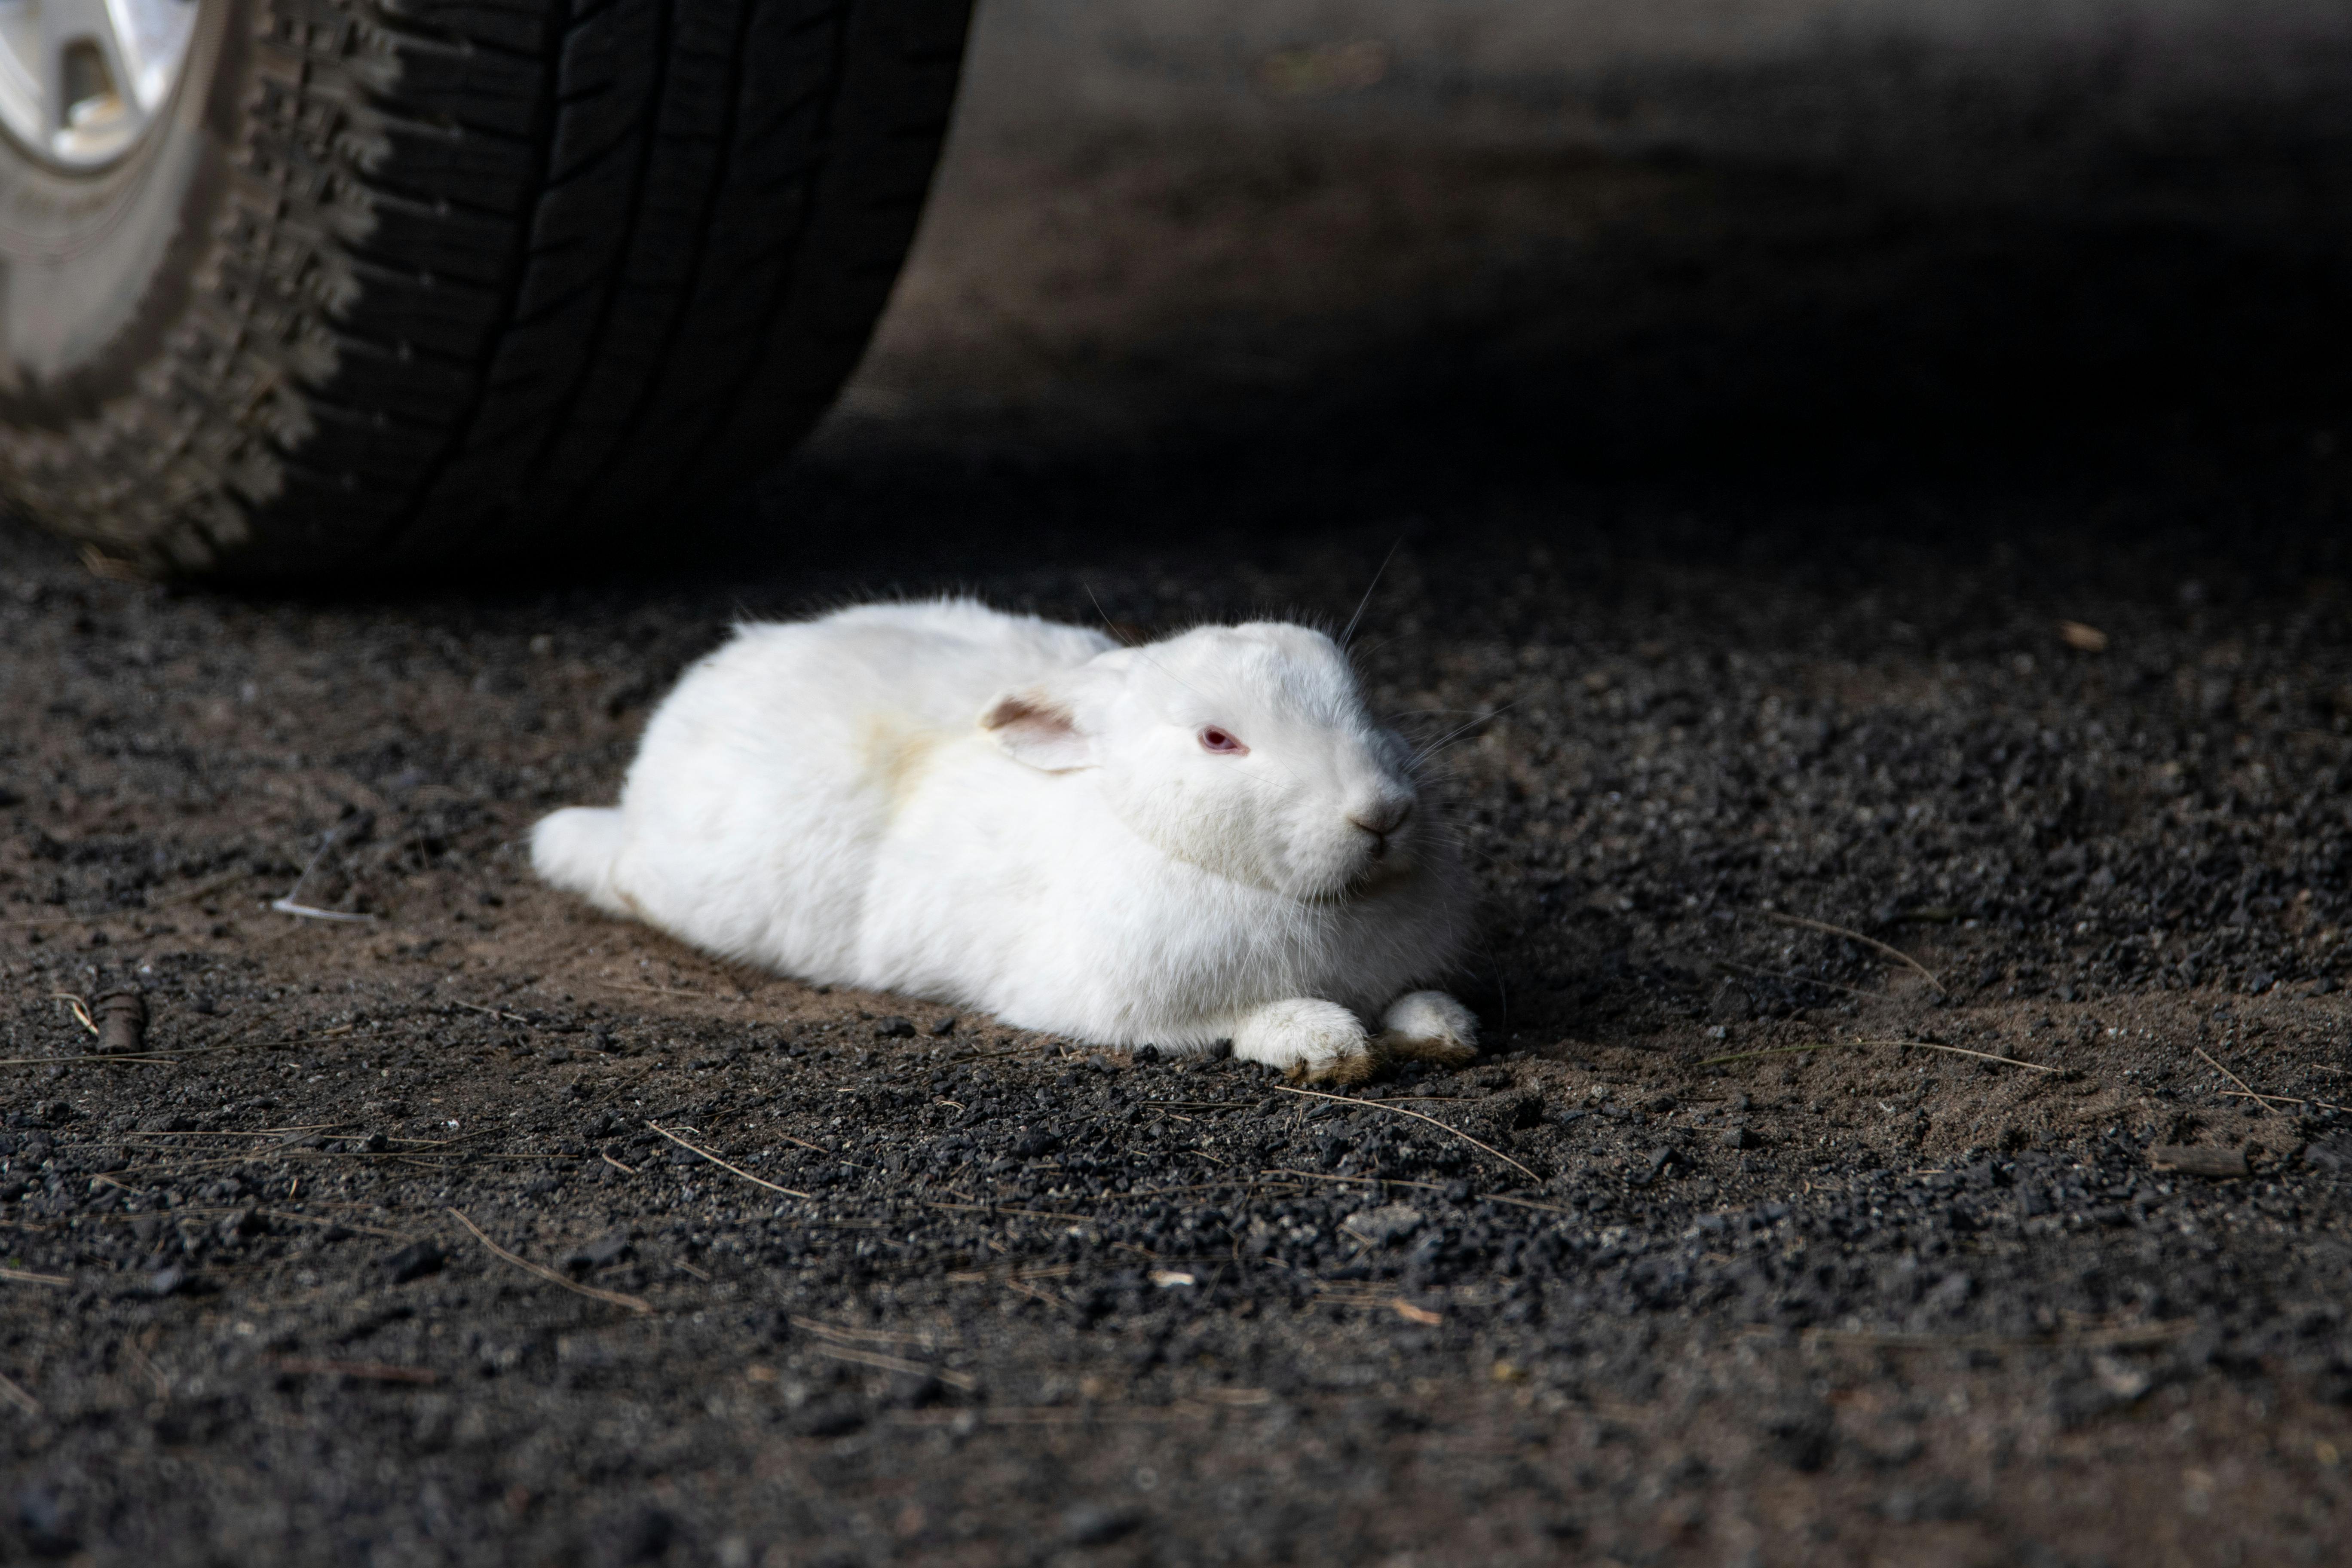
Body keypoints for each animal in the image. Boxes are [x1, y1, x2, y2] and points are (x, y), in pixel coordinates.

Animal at [531, 598, 1479, 1082]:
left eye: (1361, 700)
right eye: (1218, 740)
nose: (1380, 812)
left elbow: (1417, 1002)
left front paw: (1443, 1028)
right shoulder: (1131, 1006)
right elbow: (1243, 1019)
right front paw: (1324, 1045)